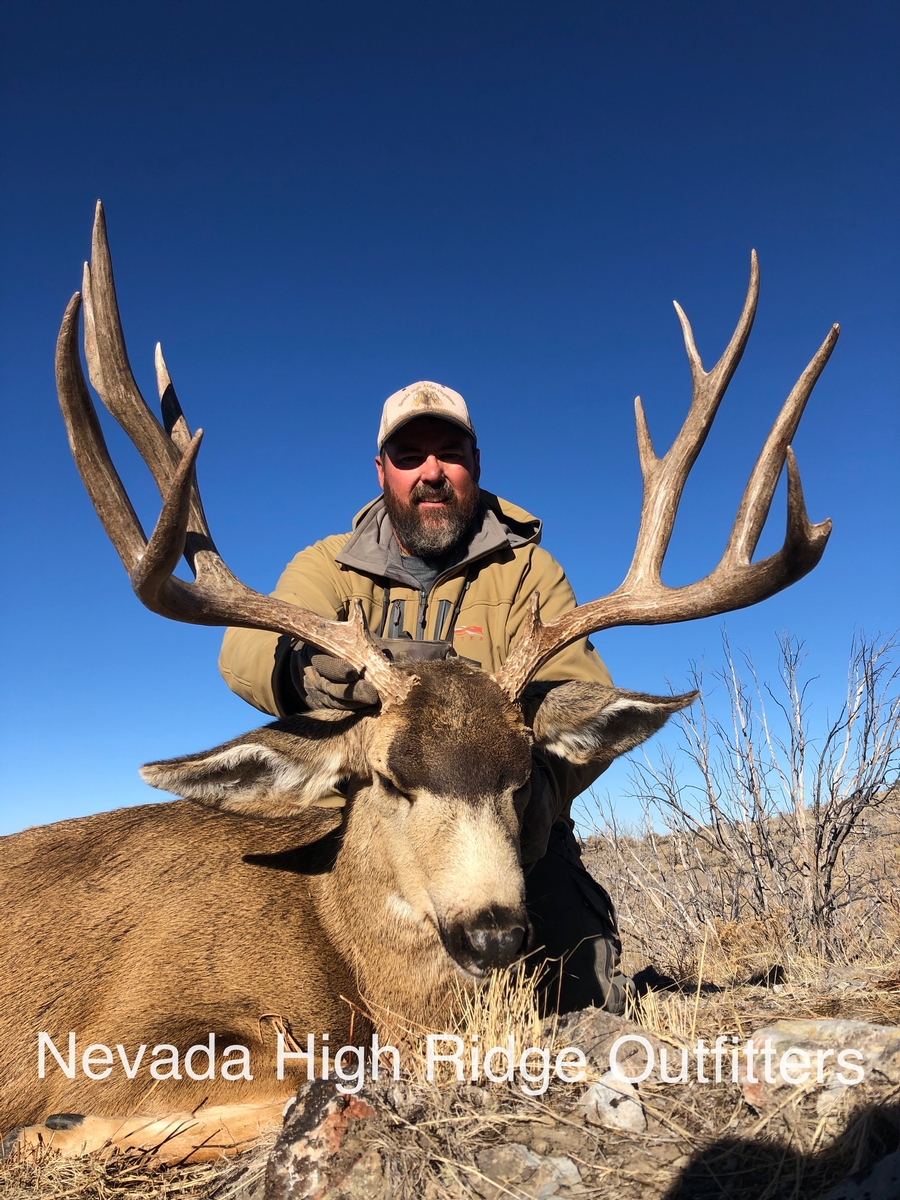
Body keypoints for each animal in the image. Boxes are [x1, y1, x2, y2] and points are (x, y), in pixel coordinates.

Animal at [0, 204, 838, 1164]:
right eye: (388, 780)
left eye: (526, 776)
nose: (494, 930)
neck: (337, 940)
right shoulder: (128, 1026)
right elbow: (309, 1075)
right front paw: (49, 1128)